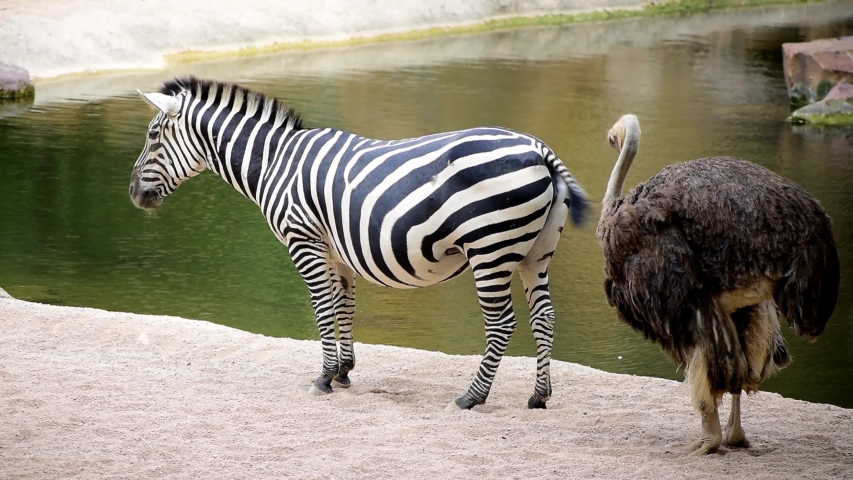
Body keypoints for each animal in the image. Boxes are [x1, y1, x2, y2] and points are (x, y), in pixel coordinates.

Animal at [129, 76, 588, 410]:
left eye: (152, 136)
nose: (133, 194)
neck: (276, 162)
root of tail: (539, 148)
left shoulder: (304, 240)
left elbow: (320, 306)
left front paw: (323, 377)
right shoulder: (337, 250)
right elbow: (344, 305)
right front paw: (344, 372)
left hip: (490, 249)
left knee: (502, 323)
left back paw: (471, 398)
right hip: (535, 252)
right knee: (544, 318)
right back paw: (539, 396)